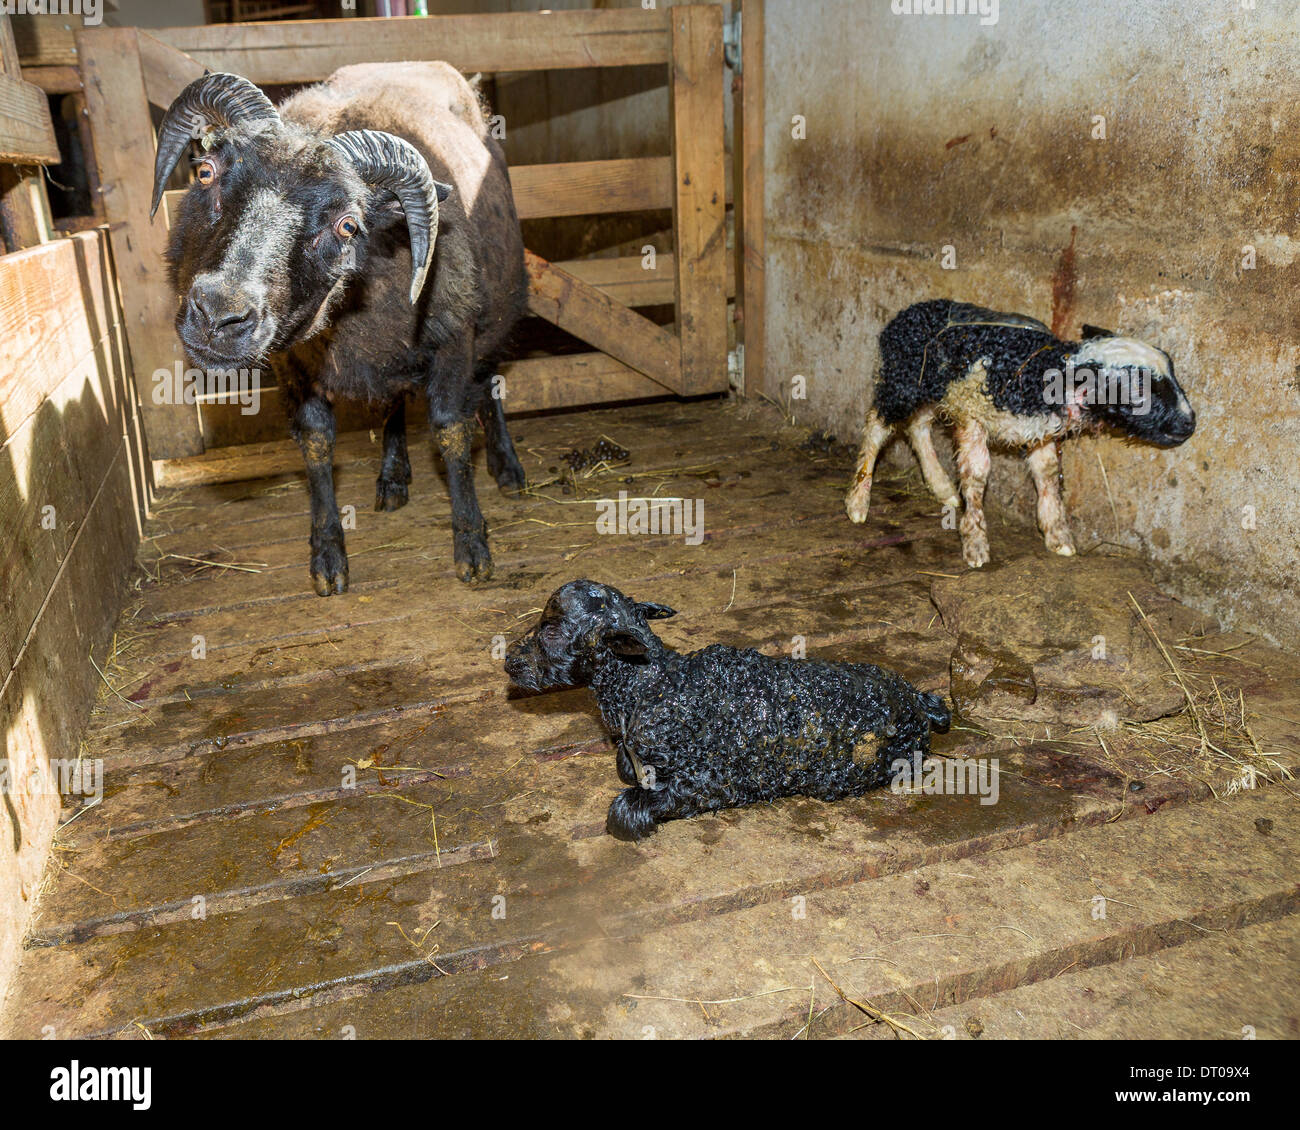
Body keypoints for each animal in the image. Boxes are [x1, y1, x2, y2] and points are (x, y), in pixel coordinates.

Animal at [151, 65, 528, 594]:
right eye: (206, 173)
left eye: (347, 225)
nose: (218, 315)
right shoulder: (293, 360)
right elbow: (315, 441)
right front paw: (327, 555)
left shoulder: (454, 336)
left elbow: (450, 431)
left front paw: (472, 545)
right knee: (393, 399)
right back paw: (393, 477)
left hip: (495, 311)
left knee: (490, 378)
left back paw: (507, 467)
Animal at [504, 580, 951, 841]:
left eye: (551, 630)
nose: (508, 659)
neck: (652, 684)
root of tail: (920, 703)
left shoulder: (709, 783)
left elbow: (627, 807)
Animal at [844, 299, 1196, 567]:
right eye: (1139, 389)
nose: (1189, 423)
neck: (1038, 373)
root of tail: (905, 314)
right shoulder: (972, 412)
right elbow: (976, 475)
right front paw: (975, 543)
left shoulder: (1040, 432)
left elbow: (1048, 475)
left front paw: (1058, 537)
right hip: (902, 381)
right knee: (877, 426)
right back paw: (858, 502)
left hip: (930, 388)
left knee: (918, 427)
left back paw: (942, 488)